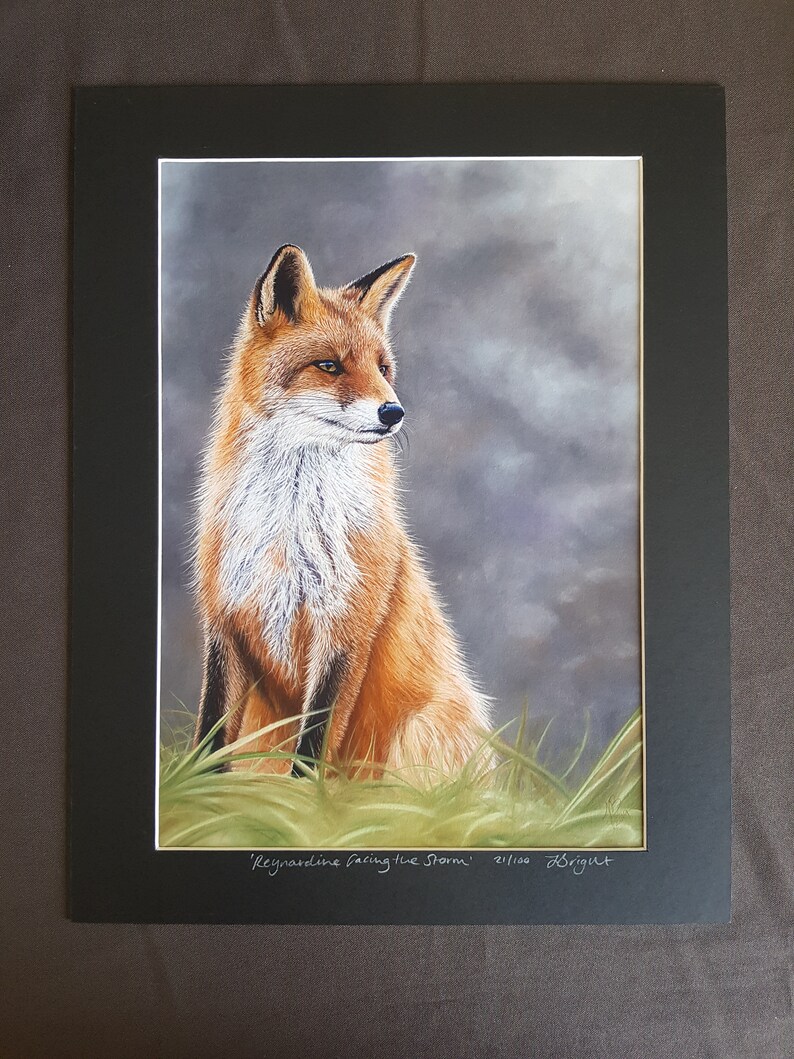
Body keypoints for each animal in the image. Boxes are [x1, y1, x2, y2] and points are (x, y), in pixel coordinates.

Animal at [192, 243, 491, 781]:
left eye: (383, 368)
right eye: (329, 366)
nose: (393, 412)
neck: (288, 532)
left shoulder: (346, 626)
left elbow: (314, 742)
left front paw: (299, 803)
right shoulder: (225, 620)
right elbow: (210, 732)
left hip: (420, 735)